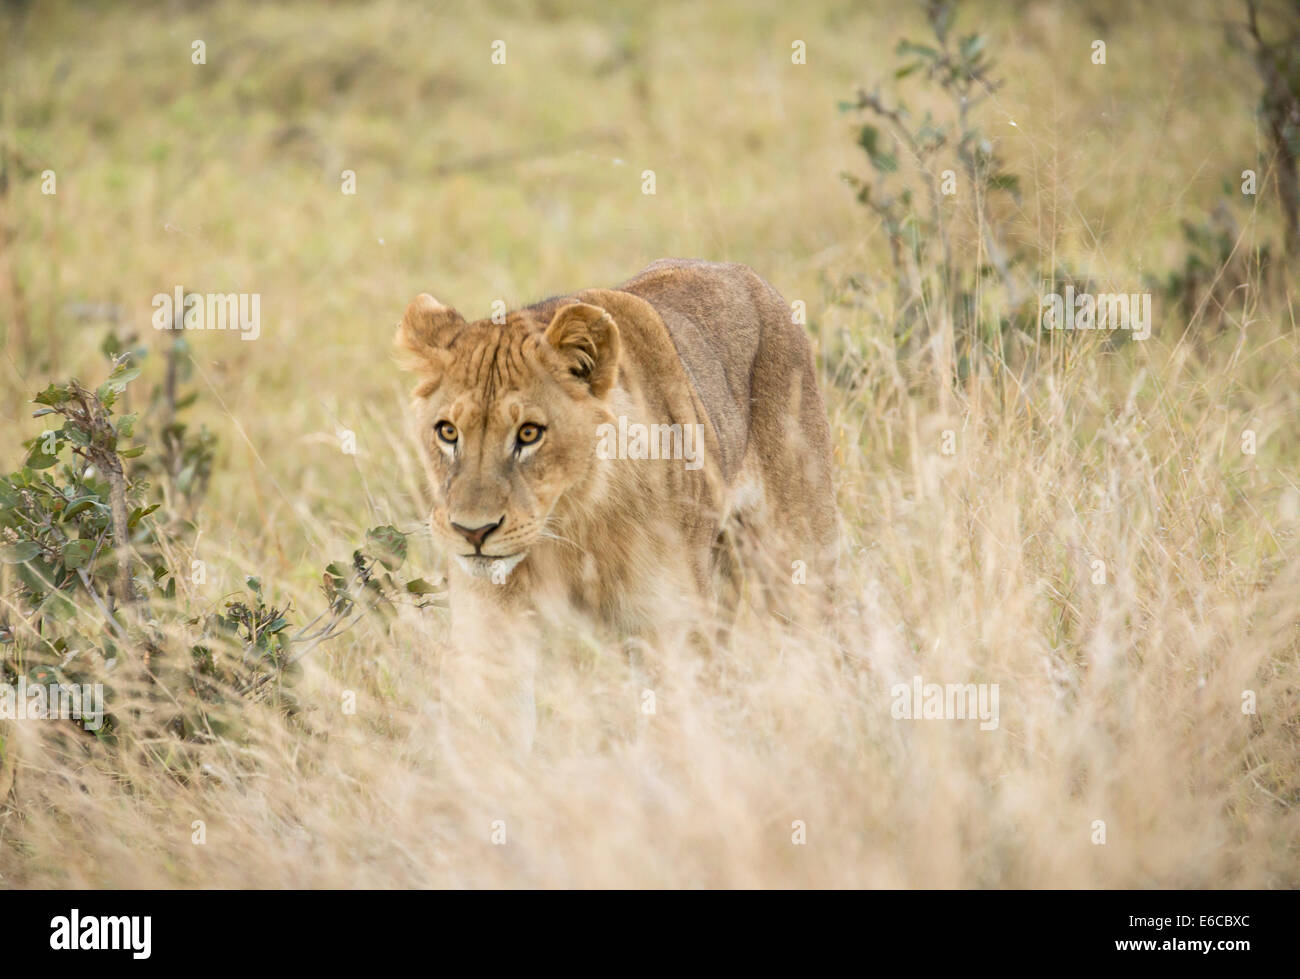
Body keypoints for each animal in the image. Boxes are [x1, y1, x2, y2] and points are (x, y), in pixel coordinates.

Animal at [396, 259, 837, 755]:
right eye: (447, 432)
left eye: (529, 434)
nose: (473, 532)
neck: (572, 527)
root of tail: (741, 272)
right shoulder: (492, 626)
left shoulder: (674, 625)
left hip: (798, 560)